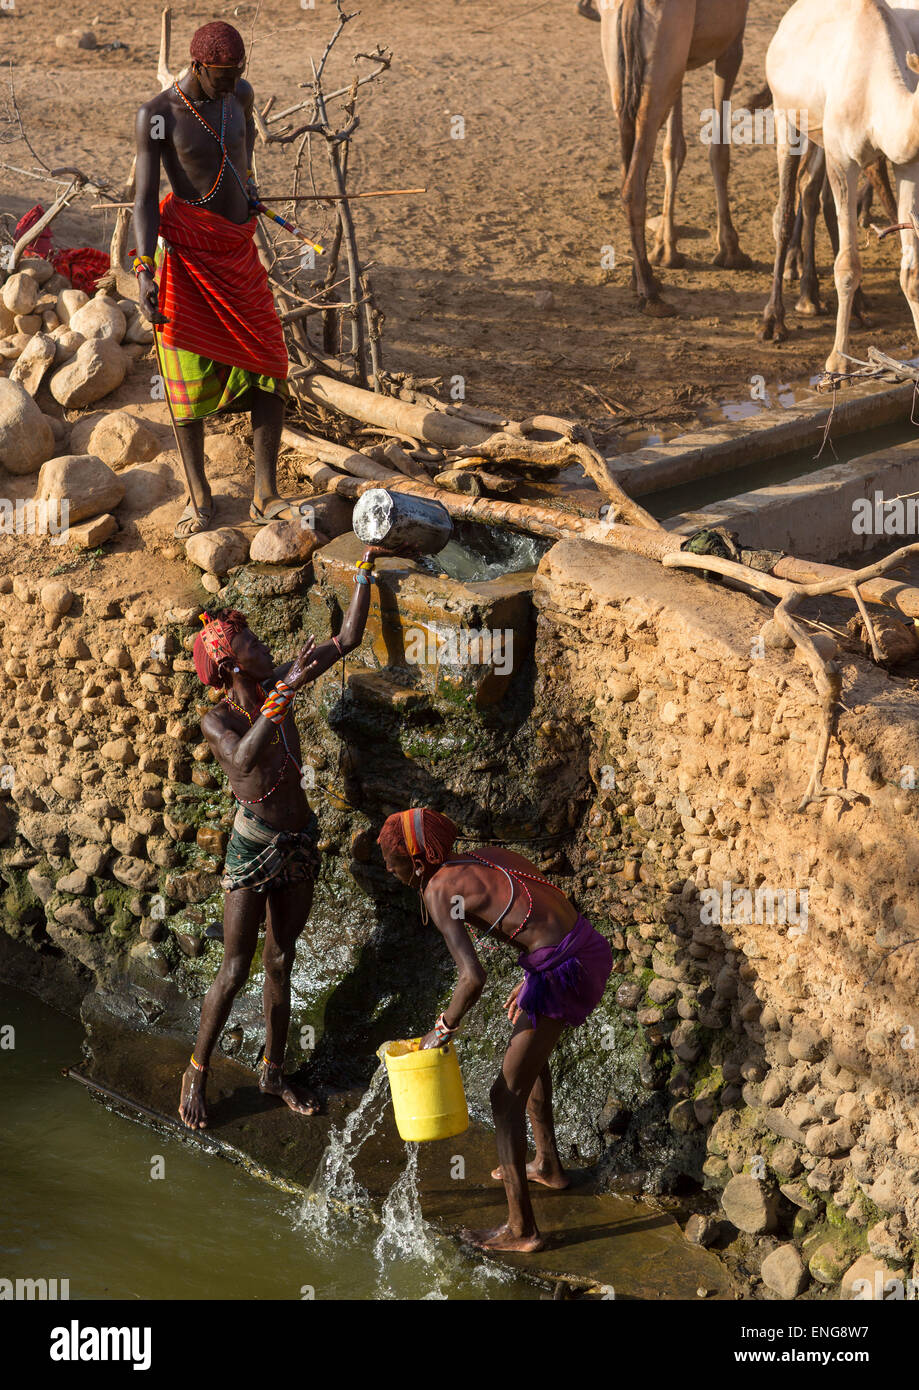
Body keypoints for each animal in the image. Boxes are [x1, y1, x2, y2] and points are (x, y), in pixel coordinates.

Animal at [597, 0, 752, 315]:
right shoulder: (732, 47)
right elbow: (719, 150)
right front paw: (730, 250)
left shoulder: (681, 65)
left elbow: (674, 150)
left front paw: (666, 251)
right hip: (659, 75)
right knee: (633, 187)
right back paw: (650, 294)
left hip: (626, 83)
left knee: (629, 162)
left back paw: (641, 278)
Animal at [763, 0, 919, 372]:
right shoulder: (842, 156)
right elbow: (847, 267)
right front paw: (837, 362)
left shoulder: (908, 162)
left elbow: (911, 271)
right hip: (785, 114)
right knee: (785, 211)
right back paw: (775, 320)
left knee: (810, 191)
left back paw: (847, 305)